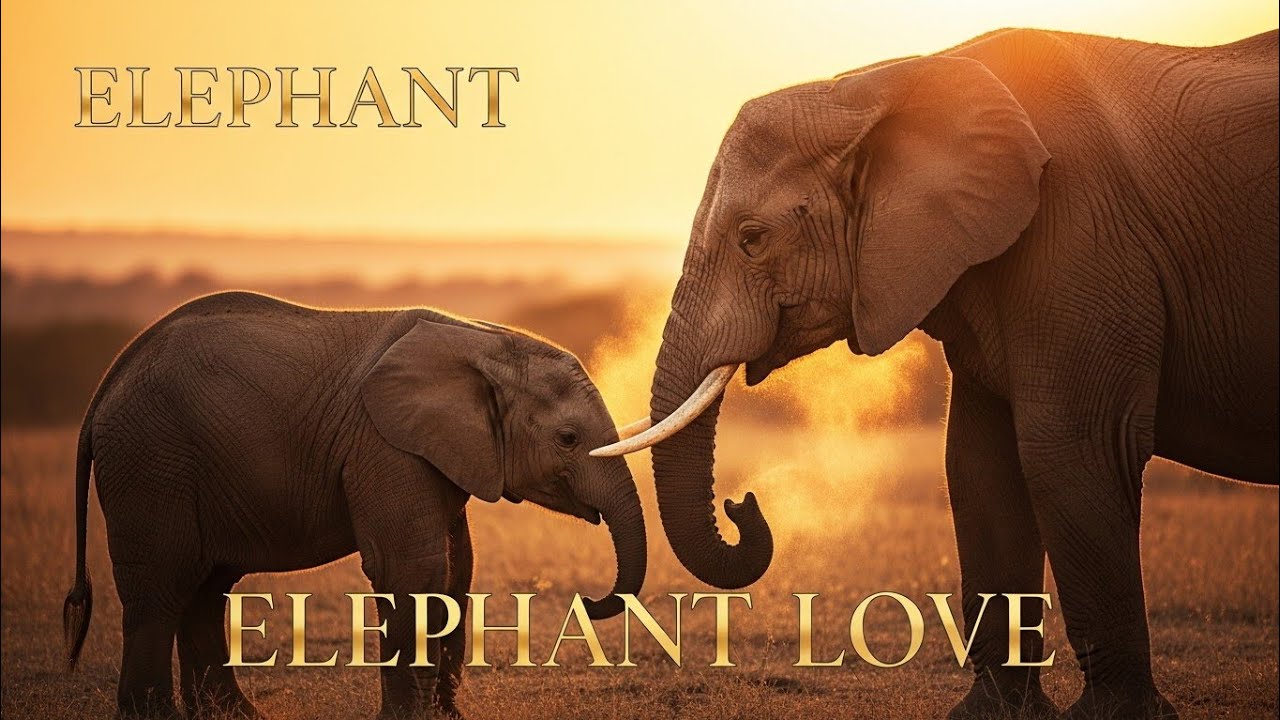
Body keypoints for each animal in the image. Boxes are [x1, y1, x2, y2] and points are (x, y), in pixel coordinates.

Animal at [62, 290, 645, 719]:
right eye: (568, 439)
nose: (589, 600)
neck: (484, 341)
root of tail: (105, 386)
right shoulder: (384, 445)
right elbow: (412, 569)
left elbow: (458, 570)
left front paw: (444, 717)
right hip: (150, 463)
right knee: (162, 587)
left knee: (205, 589)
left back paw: (237, 716)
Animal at [592, 28, 1278, 719]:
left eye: (752, 237)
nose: (743, 503)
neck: (876, 85)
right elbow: (979, 466)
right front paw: (992, 712)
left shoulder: (1083, 236)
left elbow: (1071, 450)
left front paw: (1111, 715)